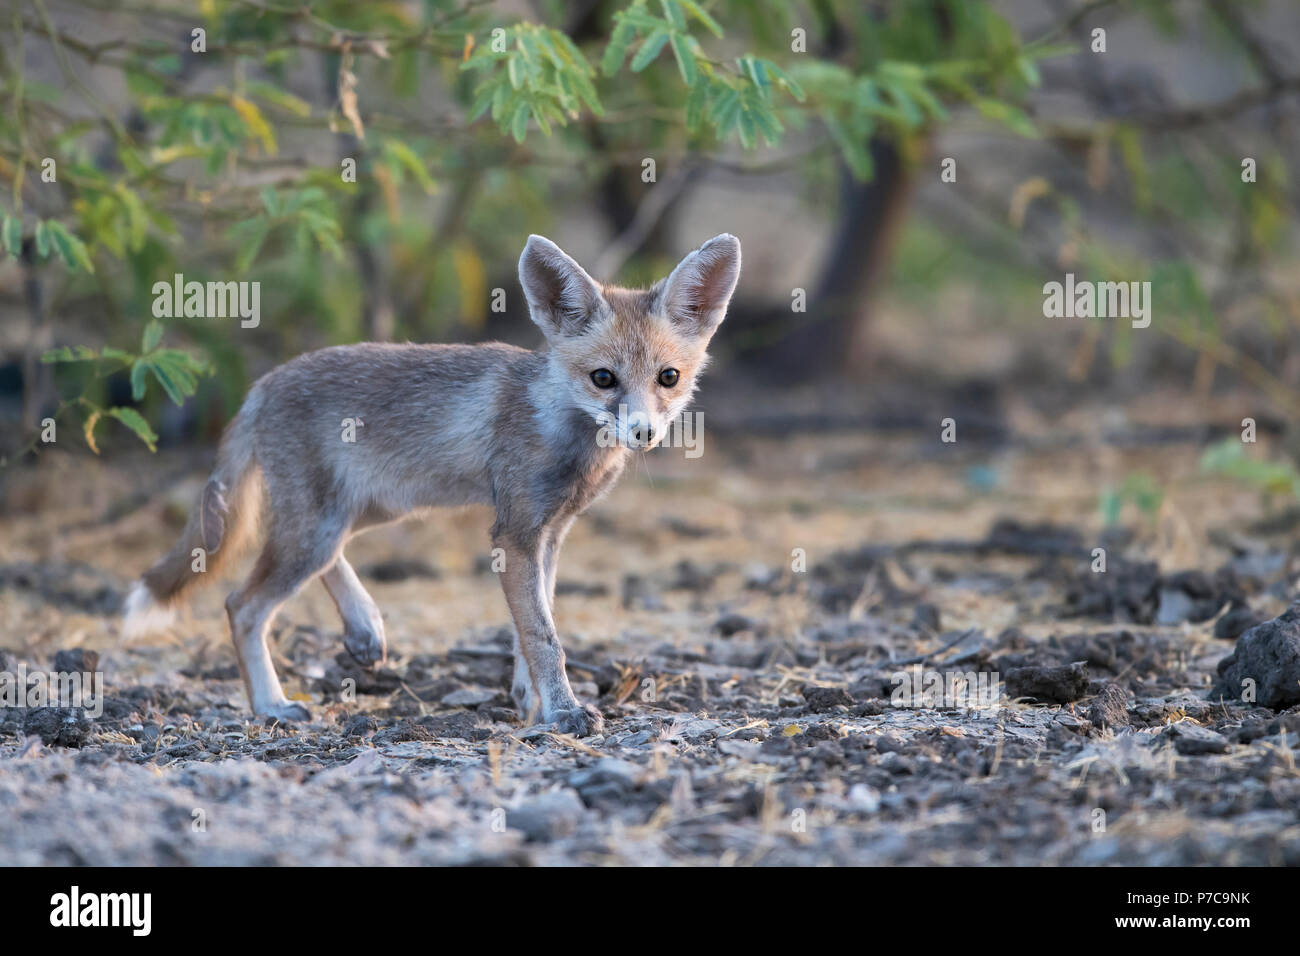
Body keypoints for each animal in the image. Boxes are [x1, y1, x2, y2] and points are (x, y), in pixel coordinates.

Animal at [122, 233, 741, 736]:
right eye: (603, 378)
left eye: (668, 378)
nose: (643, 433)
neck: (558, 425)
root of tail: (263, 383)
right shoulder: (515, 534)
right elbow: (544, 637)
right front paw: (563, 713)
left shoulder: (551, 534)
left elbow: (530, 628)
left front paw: (531, 703)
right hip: (318, 528)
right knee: (242, 606)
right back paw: (271, 705)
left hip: (365, 511)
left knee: (326, 561)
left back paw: (363, 627)